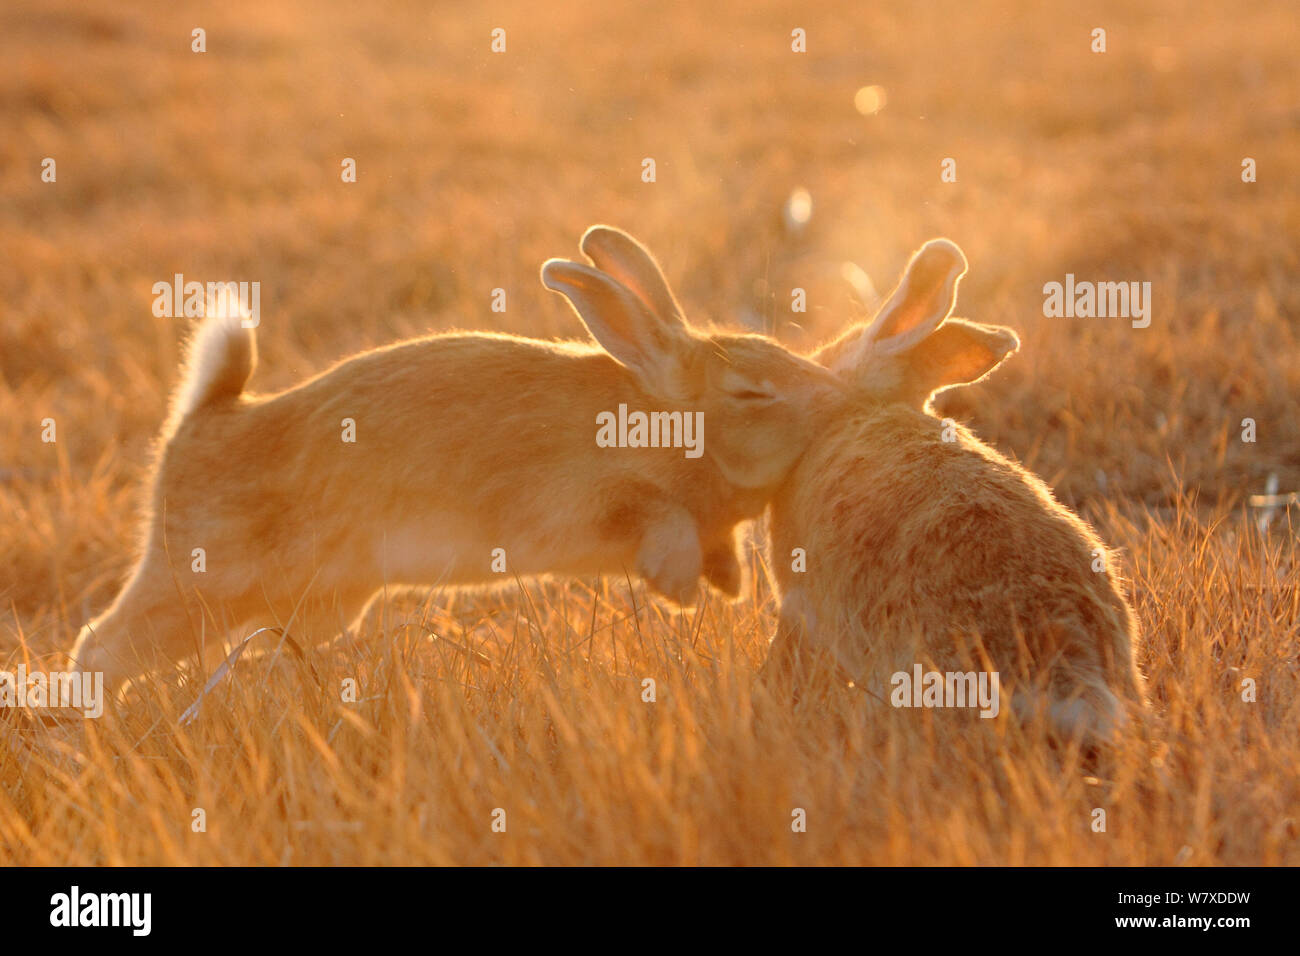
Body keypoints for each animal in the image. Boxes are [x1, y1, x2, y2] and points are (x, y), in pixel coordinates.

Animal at [70, 225, 843, 693]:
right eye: (751, 393)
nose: (834, 399)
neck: (666, 422)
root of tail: (204, 420)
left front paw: (728, 584)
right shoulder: (601, 501)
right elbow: (662, 521)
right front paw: (681, 589)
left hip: (316, 604)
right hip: (197, 585)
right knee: (102, 648)